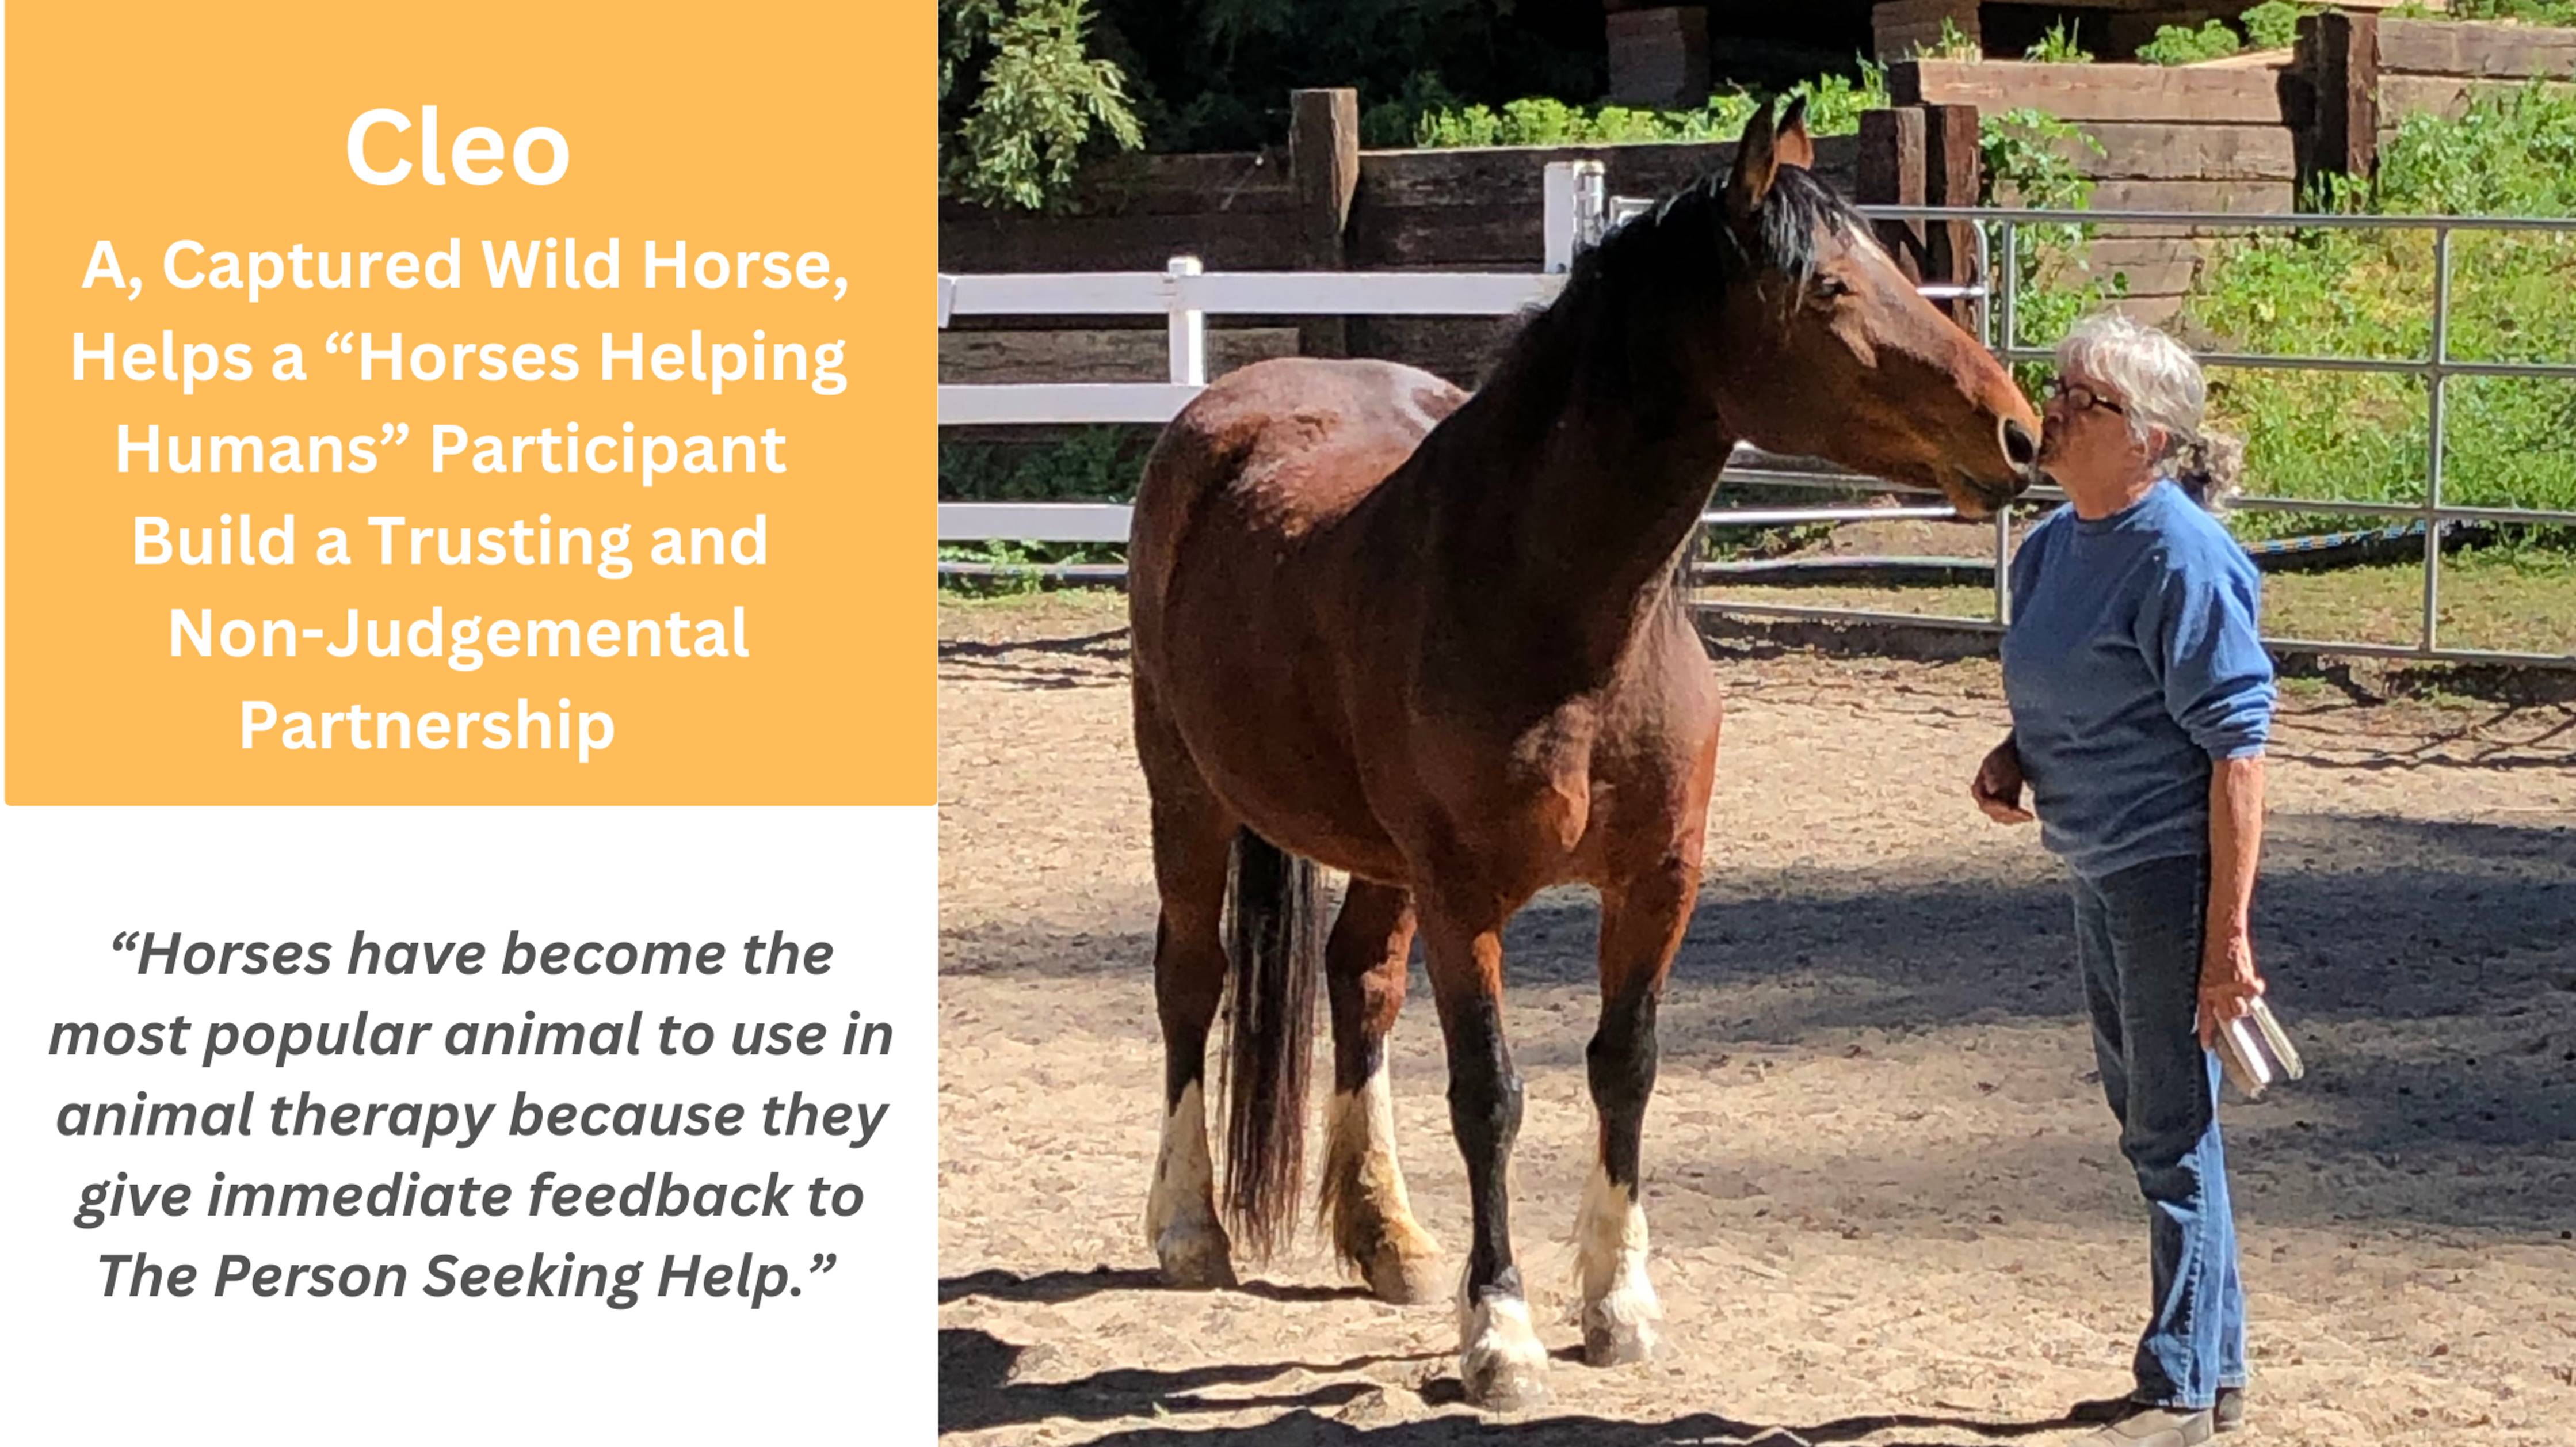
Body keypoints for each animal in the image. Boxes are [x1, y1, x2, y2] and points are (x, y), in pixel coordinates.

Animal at [1123, 97, 2041, 1410]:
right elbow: (1490, 1093)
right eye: (1826, 286)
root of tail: (1219, 413)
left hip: (1379, 862)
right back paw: (1190, 1224)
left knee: (1358, 985)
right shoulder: (1467, 897)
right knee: (1190, 979)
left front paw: (1616, 1302)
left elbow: (1626, 1067)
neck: (1554, 611)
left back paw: (1388, 1235)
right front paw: (1500, 1332)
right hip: (1188, 793)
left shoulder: (1657, 881)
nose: (2019, 431)